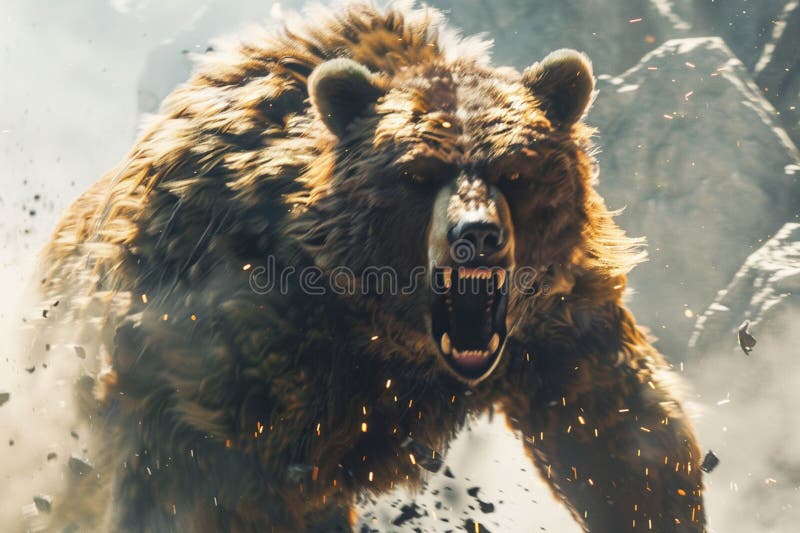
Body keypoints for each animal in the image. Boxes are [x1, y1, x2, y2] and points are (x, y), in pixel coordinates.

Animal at [26, 2, 705, 531]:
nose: (477, 236)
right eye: (419, 174)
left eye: (515, 172)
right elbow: (236, 488)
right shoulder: (241, 347)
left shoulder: (556, 319)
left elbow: (619, 436)